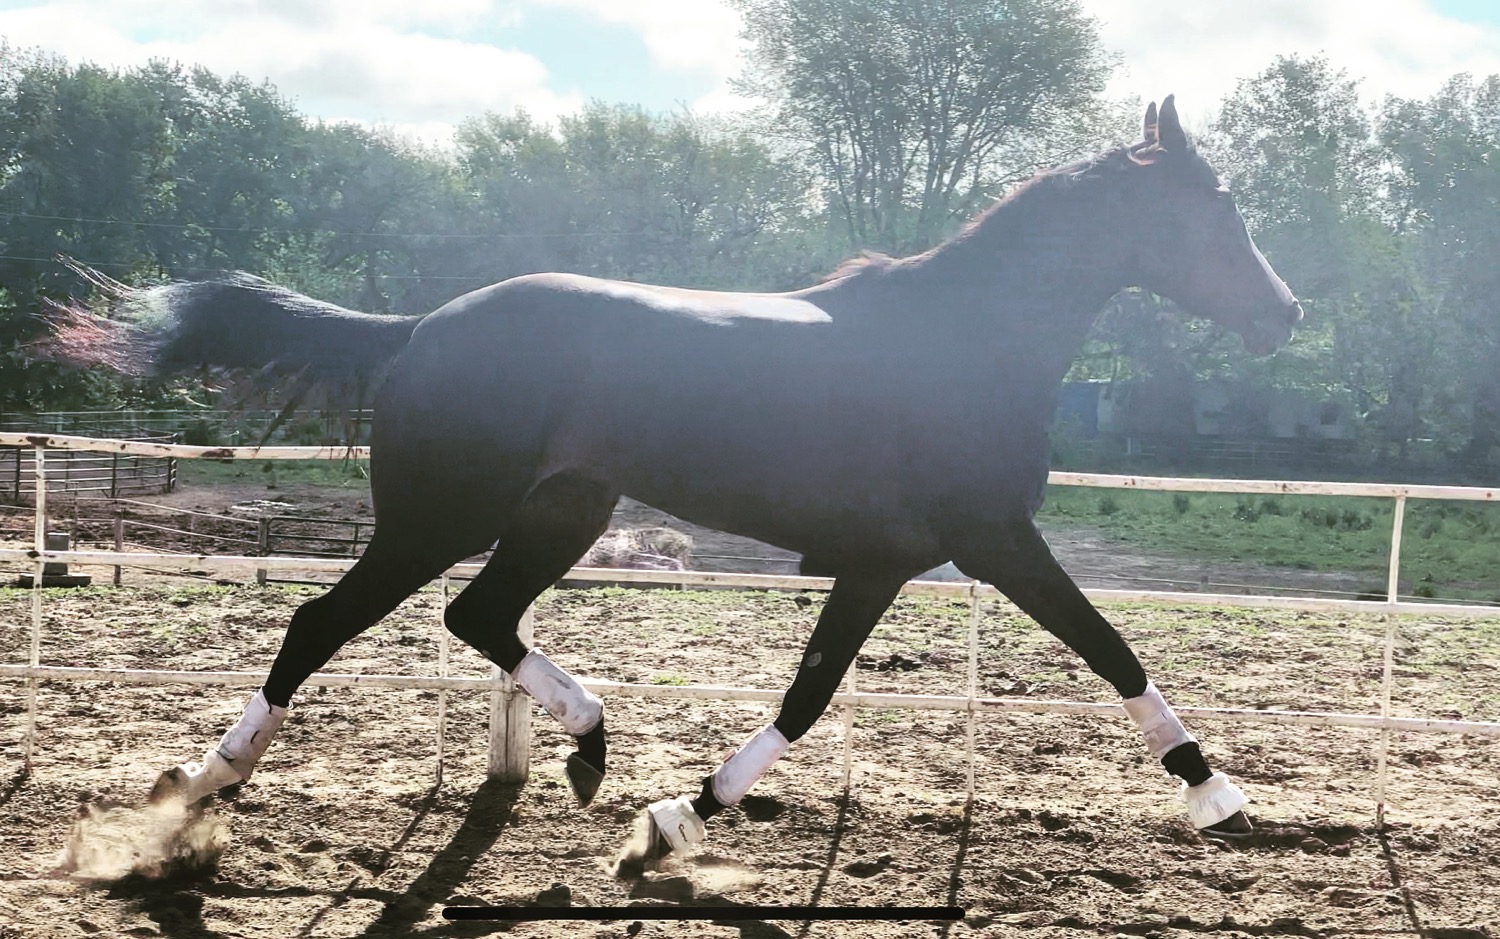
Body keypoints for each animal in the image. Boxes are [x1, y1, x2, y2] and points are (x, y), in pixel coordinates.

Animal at [52, 95, 1300, 867]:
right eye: (1215, 209)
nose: (1287, 315)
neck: (965, 341)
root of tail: (419, 329)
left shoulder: (885, 562)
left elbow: (809, 694)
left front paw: (677, 818)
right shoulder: (990, 537)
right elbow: (1109, 646)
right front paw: (1217, 794)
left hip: (562, 510)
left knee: (479, 615)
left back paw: (593, 744)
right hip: (441, 515)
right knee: (323, 621)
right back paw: (204, 782)